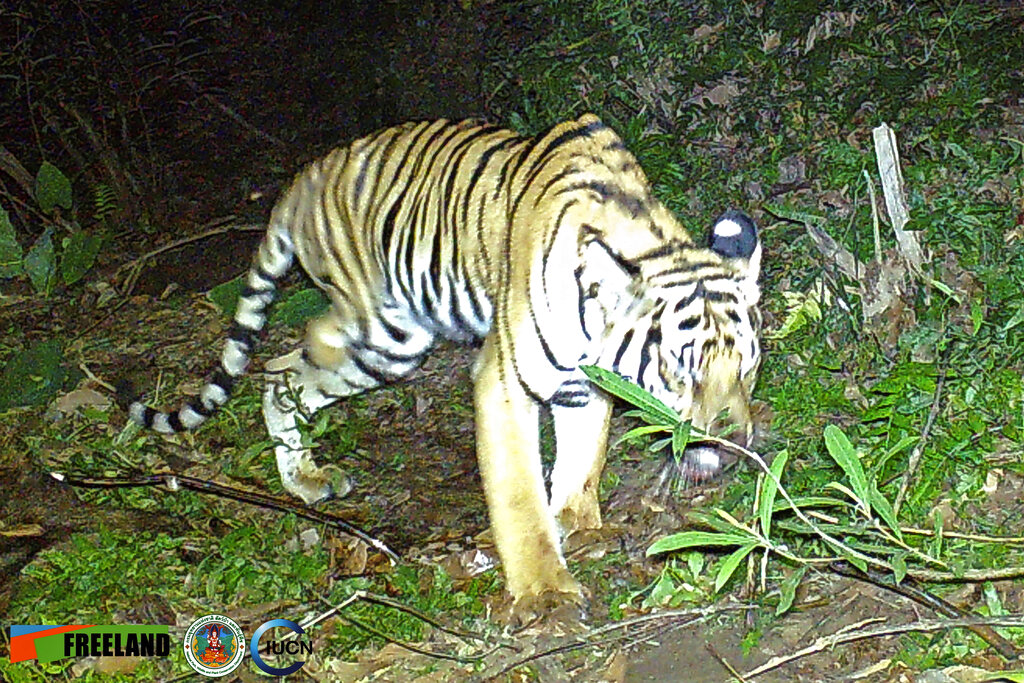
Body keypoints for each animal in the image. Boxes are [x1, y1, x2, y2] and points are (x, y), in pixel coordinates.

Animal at [125, 114, 762, 614]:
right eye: (682, 373)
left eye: (748, 369)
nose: (735, 446)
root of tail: (302, 180)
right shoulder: (505, 382)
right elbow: (518, 495)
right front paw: (544, 591)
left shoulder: (585, 387)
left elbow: (582, 463)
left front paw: (578, 526)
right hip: (385, 333)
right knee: (294, 353)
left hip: (388, 349)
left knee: (285, 373)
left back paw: (306, 478)